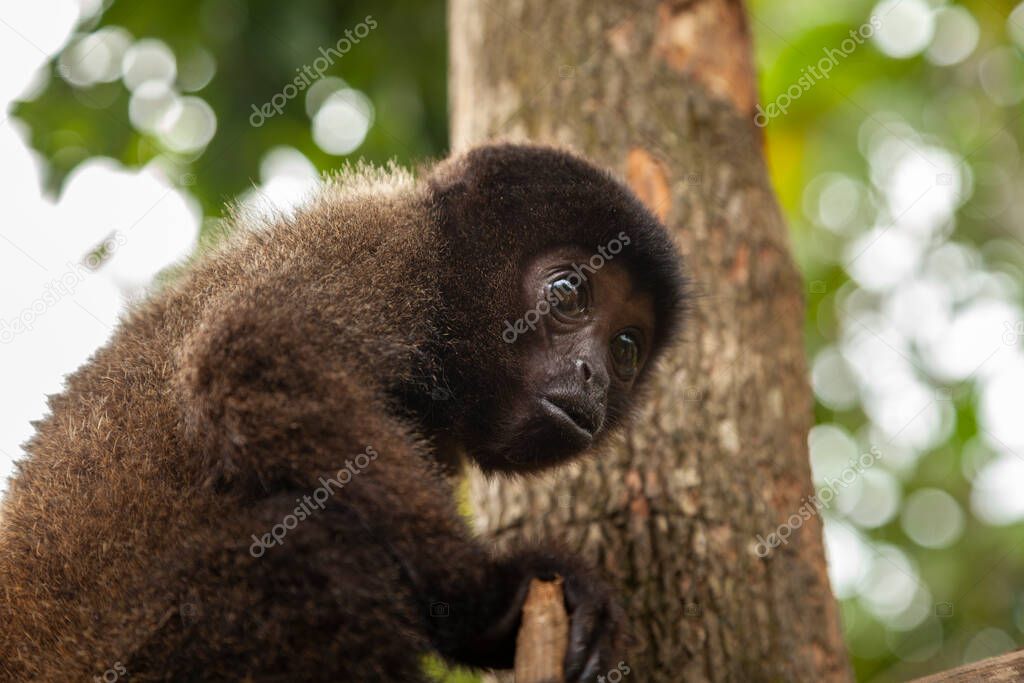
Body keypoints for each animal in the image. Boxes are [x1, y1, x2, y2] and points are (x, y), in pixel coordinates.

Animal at [0, 143, 687, 682]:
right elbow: (257, 353)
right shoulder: (379, 252)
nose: (594, 374)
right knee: (308, 540)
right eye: (568, 292)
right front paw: (492, 596)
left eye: (627, 348)